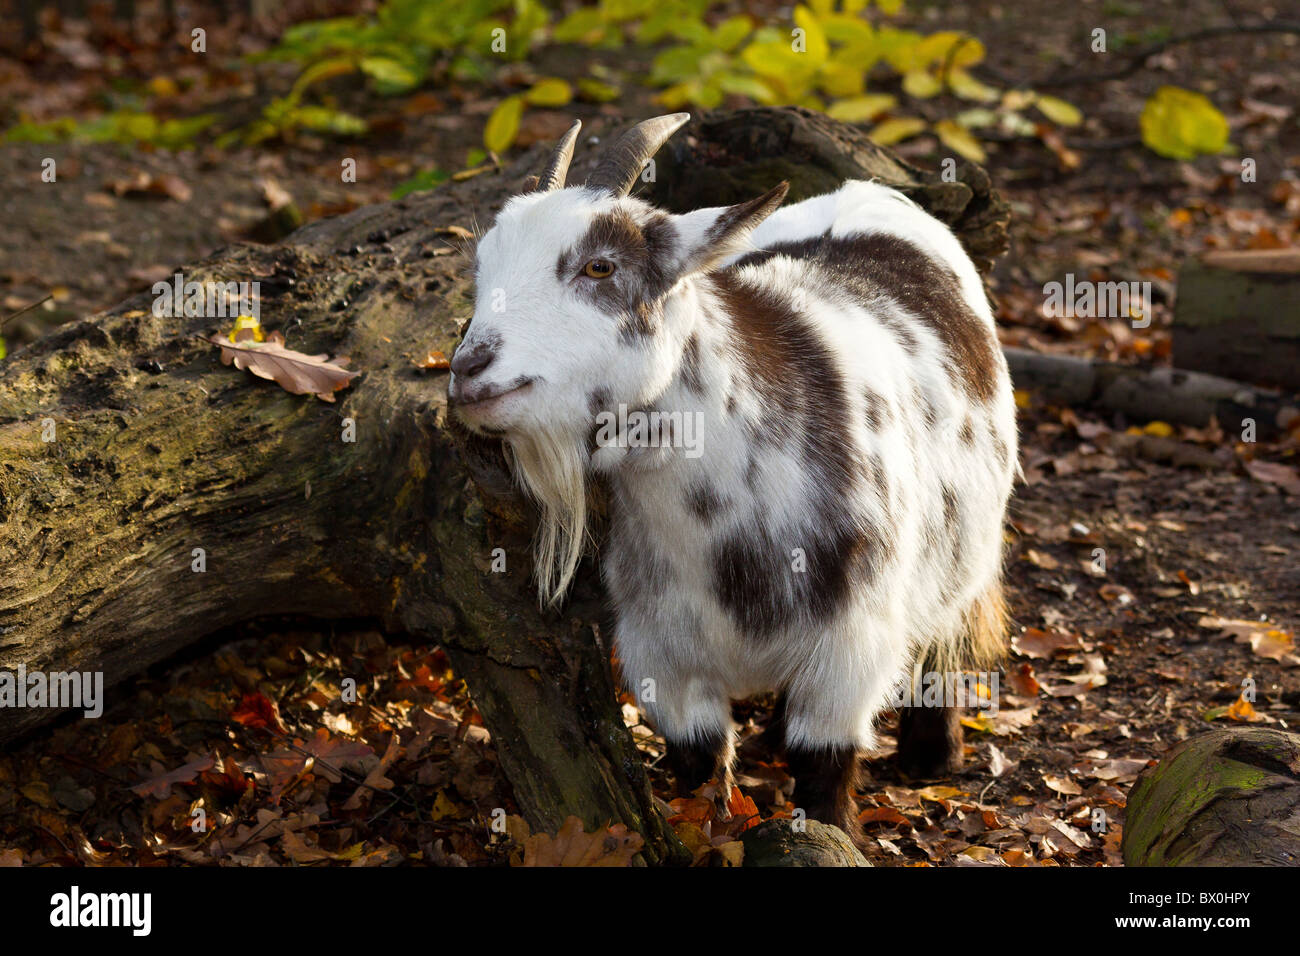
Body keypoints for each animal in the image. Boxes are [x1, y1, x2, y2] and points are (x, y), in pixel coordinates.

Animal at [449, 114, 1018, 844]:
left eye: (600, 265)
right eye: (483, 264)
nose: (468, 368)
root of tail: (867, 190)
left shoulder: (851, 645)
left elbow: (824, 765)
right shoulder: (661, 650)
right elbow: (698, 762)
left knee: (953, 623)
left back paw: (932, 754)